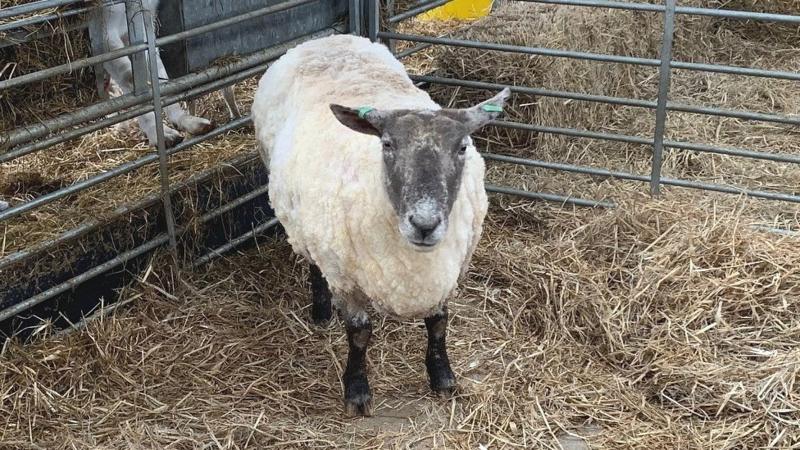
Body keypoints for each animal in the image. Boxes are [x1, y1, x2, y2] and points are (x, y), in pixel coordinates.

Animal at [99, 0, 240, 148]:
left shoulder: (142, 22)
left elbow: (159, 76)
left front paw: (187, 122)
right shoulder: (105, 37)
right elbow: (131, 82)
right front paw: (160, 136)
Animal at [252, 34, 509, 416]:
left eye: (462, 147)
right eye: (387, 144)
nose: (424, 223)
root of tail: (324, 39)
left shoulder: (449, 270)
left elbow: (438, 324)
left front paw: (442, 376)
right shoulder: (346, 277)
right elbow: (359, 334)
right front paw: (357, 390)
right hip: (309, 224)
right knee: (313, 261)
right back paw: (320, 310)